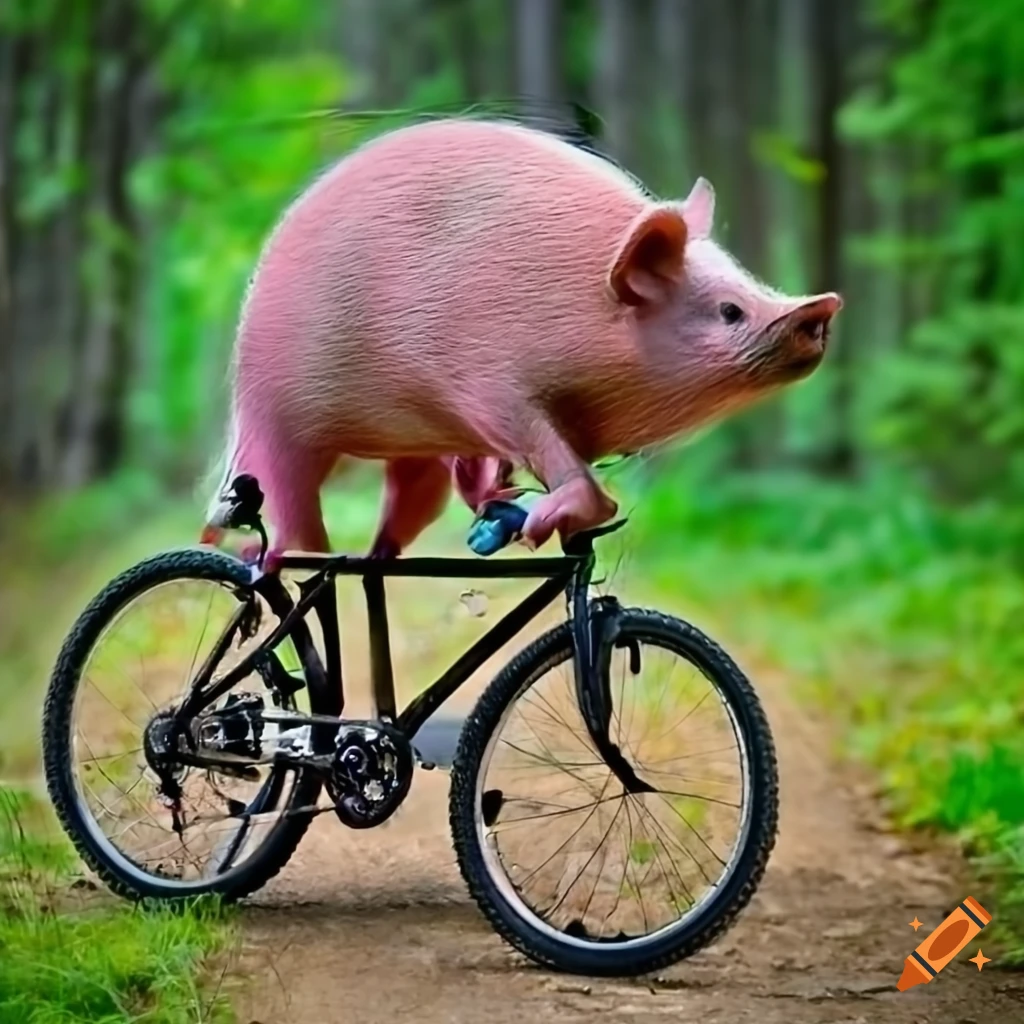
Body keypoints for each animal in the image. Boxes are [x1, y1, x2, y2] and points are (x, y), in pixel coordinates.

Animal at [202, 117, 841, 566]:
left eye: (750, 282)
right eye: (730, 311)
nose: (820, 310)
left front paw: (517, 512)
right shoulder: (484, 382)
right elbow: (559, 461)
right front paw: (543, 526)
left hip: (411, 446)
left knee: (413, 494)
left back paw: (389, 548)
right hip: (276, 413)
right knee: (290, 501)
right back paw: (279, 554)